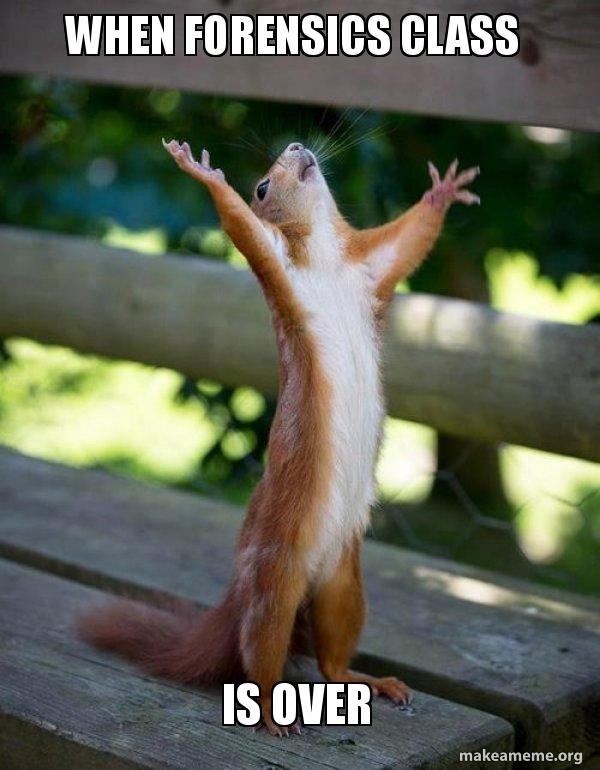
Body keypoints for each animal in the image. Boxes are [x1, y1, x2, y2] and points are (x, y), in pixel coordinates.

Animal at [79, 138, 479, 736]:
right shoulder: (278, 266)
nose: (296, 146)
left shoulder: (371, 267)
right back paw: (272, 710)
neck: (327, 258)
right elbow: (241, 227)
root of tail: (240, 592)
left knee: (332, 659)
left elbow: (408, 241)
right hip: (275, 579)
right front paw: (204, 174)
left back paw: (369, 681)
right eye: (262, 187)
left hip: (344, 584)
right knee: (260, 654)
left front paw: (443, 191)